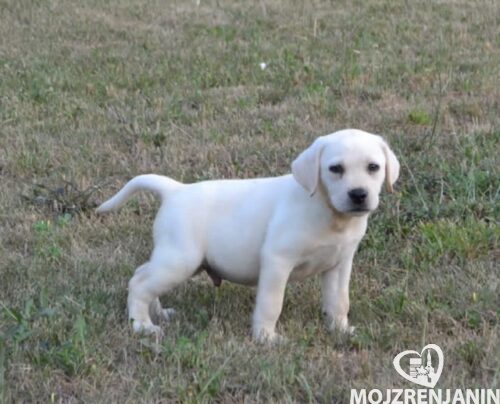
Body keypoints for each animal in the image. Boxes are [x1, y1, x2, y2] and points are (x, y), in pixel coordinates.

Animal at [97, 129, 400, 340]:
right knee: (139, 284)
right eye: (335, 169)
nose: (358, 195)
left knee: (142, 274)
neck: (328, 212)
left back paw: (158, 313)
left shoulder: (339, 265)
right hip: (179, 260)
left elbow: (339, 301)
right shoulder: (277, 261)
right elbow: (271, 303)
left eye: (373, 167)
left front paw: (340, 330)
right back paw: (143, 326)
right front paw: (265, 338)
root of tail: (175, 190)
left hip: (174, 259)